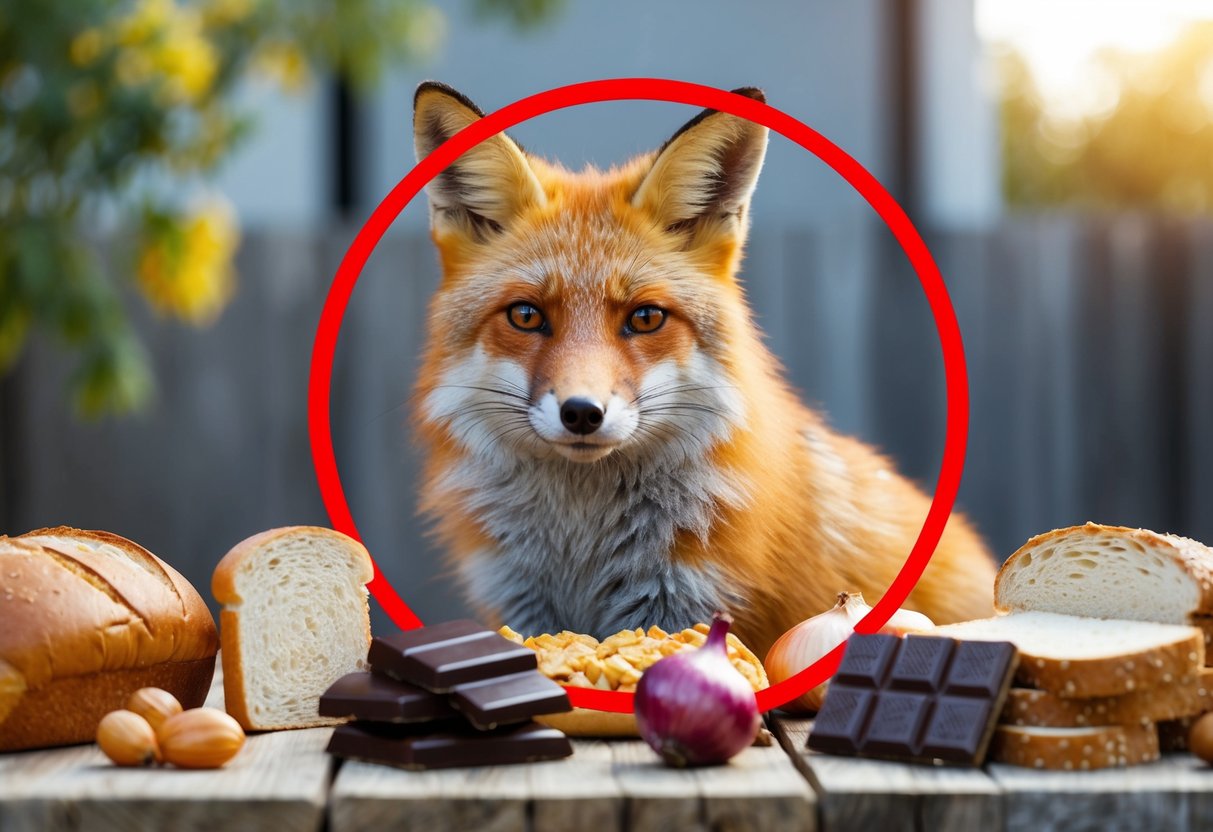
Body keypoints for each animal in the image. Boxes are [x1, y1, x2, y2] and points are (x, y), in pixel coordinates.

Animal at [410, 81, 996, 659]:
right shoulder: (524, 606)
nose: (581, 413)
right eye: (526, 316)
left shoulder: (686, 603)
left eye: (646, 318)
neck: (581, 546)